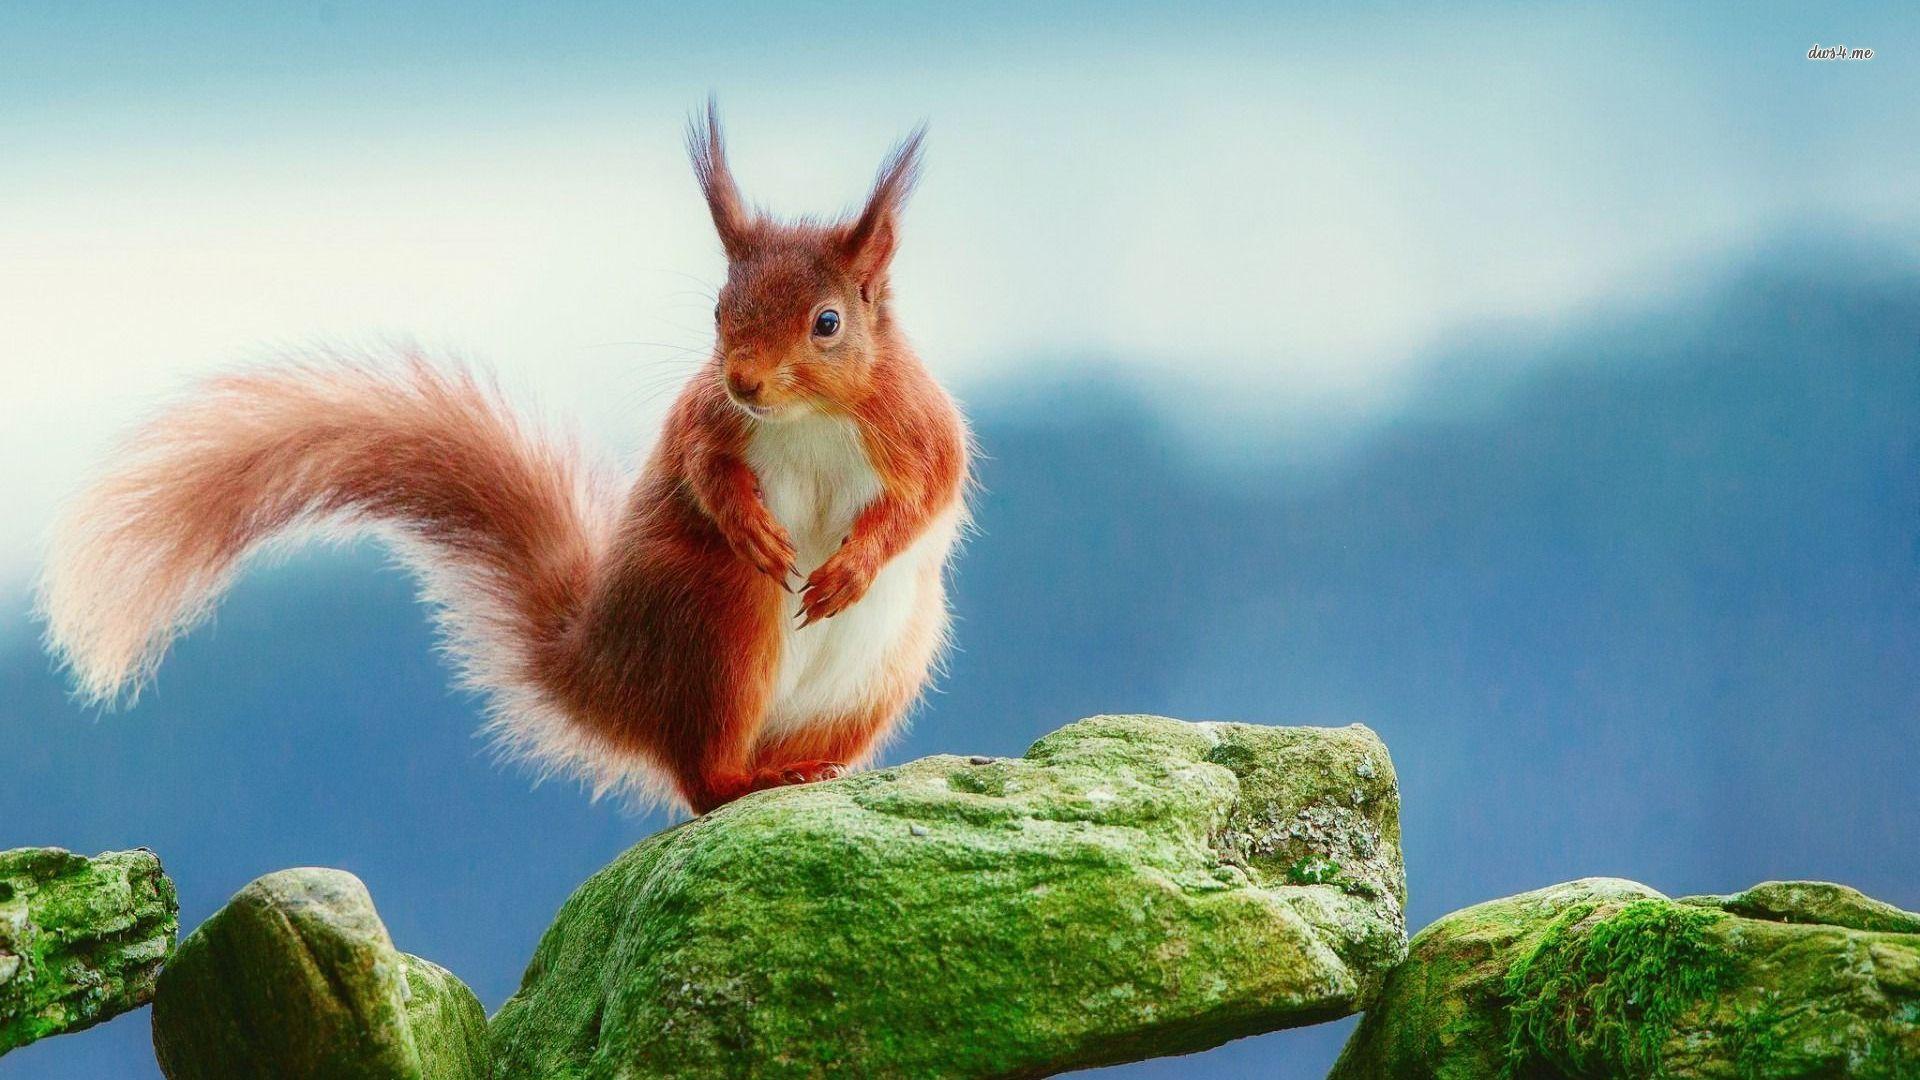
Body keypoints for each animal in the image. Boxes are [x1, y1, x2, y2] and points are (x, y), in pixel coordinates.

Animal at [35, 103, 971, 814]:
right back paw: (749, 777)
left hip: (884, 666)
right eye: (718, 309)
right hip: (717, 623)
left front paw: (851, 567)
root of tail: (603, 675)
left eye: (827, 322)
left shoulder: (916, 429)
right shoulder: (703, 423)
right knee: (700, 779)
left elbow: (927, 496)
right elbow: (705, 476)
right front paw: (753, 527)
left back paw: (808, 768)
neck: (807, 416)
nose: (742, 379)